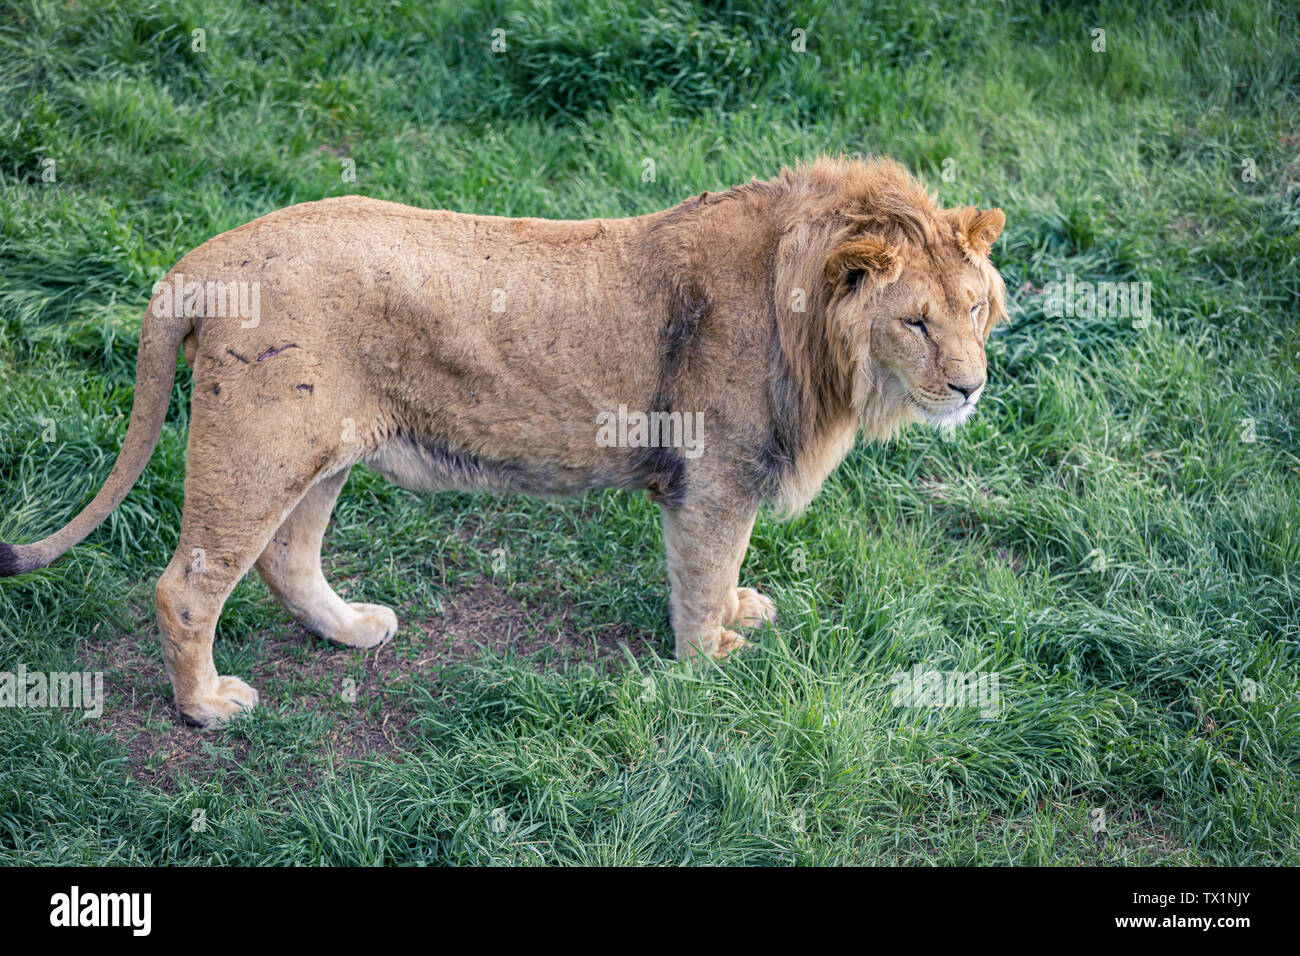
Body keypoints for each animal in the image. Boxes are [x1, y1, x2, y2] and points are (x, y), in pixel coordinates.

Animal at [0, 157, 1006, 727]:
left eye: (975, 309)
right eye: (915, 322)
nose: (971, 386)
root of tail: (200, 261)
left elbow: (725, 568)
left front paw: (737, 617)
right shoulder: (714, 475)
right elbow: (703, 571)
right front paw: (708, 662)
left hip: (322, 449)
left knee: (288, 558)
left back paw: (350, 630)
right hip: (257, 448)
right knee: (186, 585)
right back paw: (207, 708)